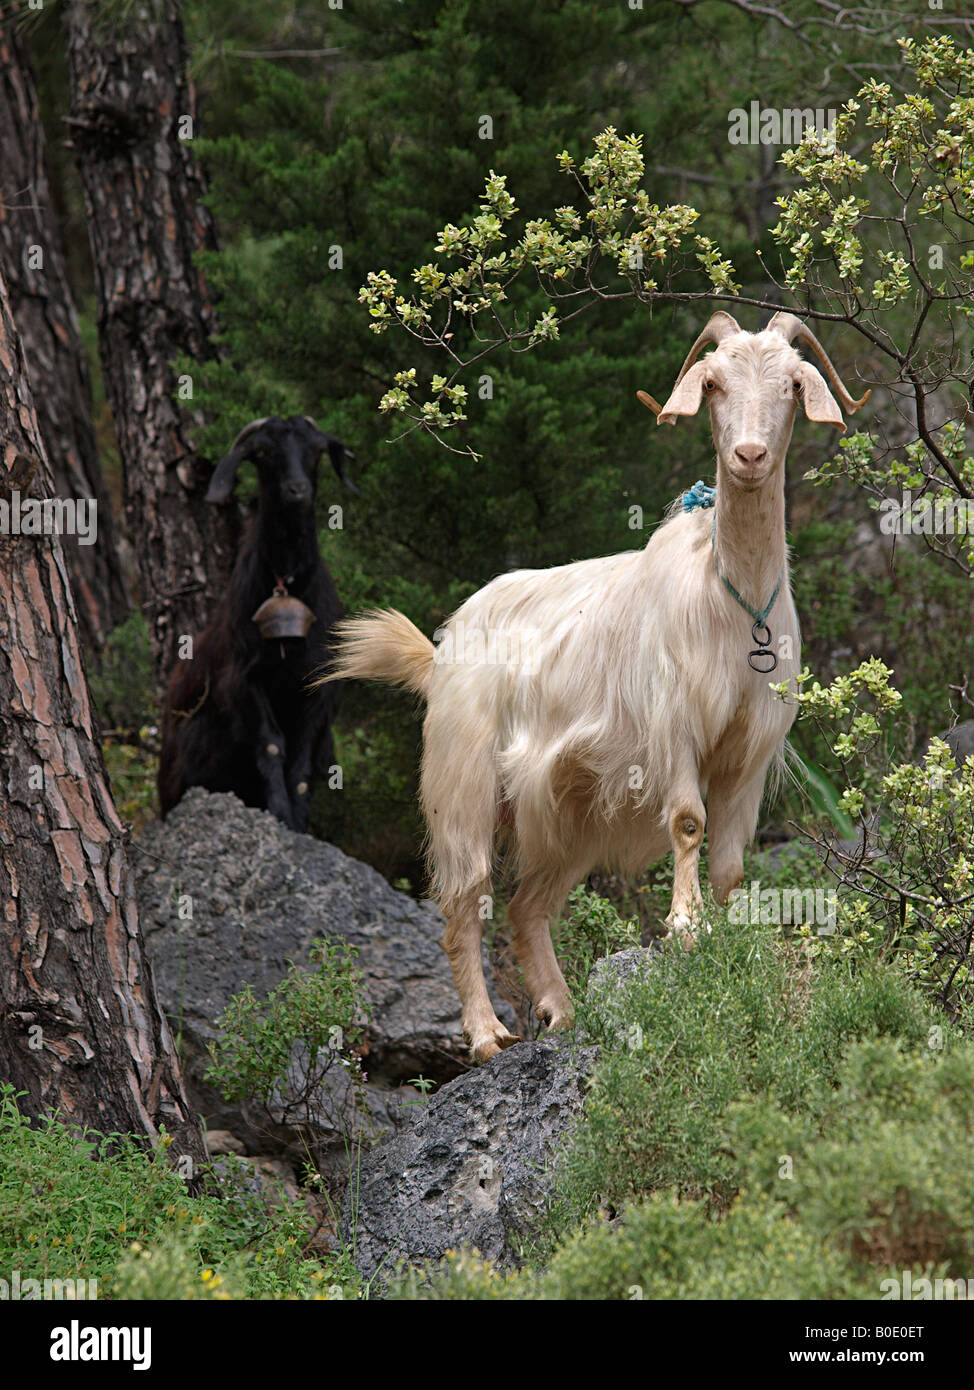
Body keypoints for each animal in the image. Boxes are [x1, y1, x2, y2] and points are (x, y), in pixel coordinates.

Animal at [159, 415, 357, 832]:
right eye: (263, 453)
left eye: (316, 449)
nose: (296, 490)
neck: (287, 581)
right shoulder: (243, 679)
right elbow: (271, 745)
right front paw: (280, 814)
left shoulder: (319, 686)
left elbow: (301, 757)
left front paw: (298, 821)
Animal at [322, 312, 869, 1061]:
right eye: (712, 383)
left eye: (791, 384)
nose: (750, 456)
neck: (733, 601)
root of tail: (439, 652)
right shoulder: (673, 728)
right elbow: (689, 822)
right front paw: (686, 927)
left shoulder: (750, 752)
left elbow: (730, 863)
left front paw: (734, 949)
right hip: (462, 783)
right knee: (464, 904)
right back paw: (488, 1035)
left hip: (569, 813)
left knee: (526, 908)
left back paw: (562, 1012)